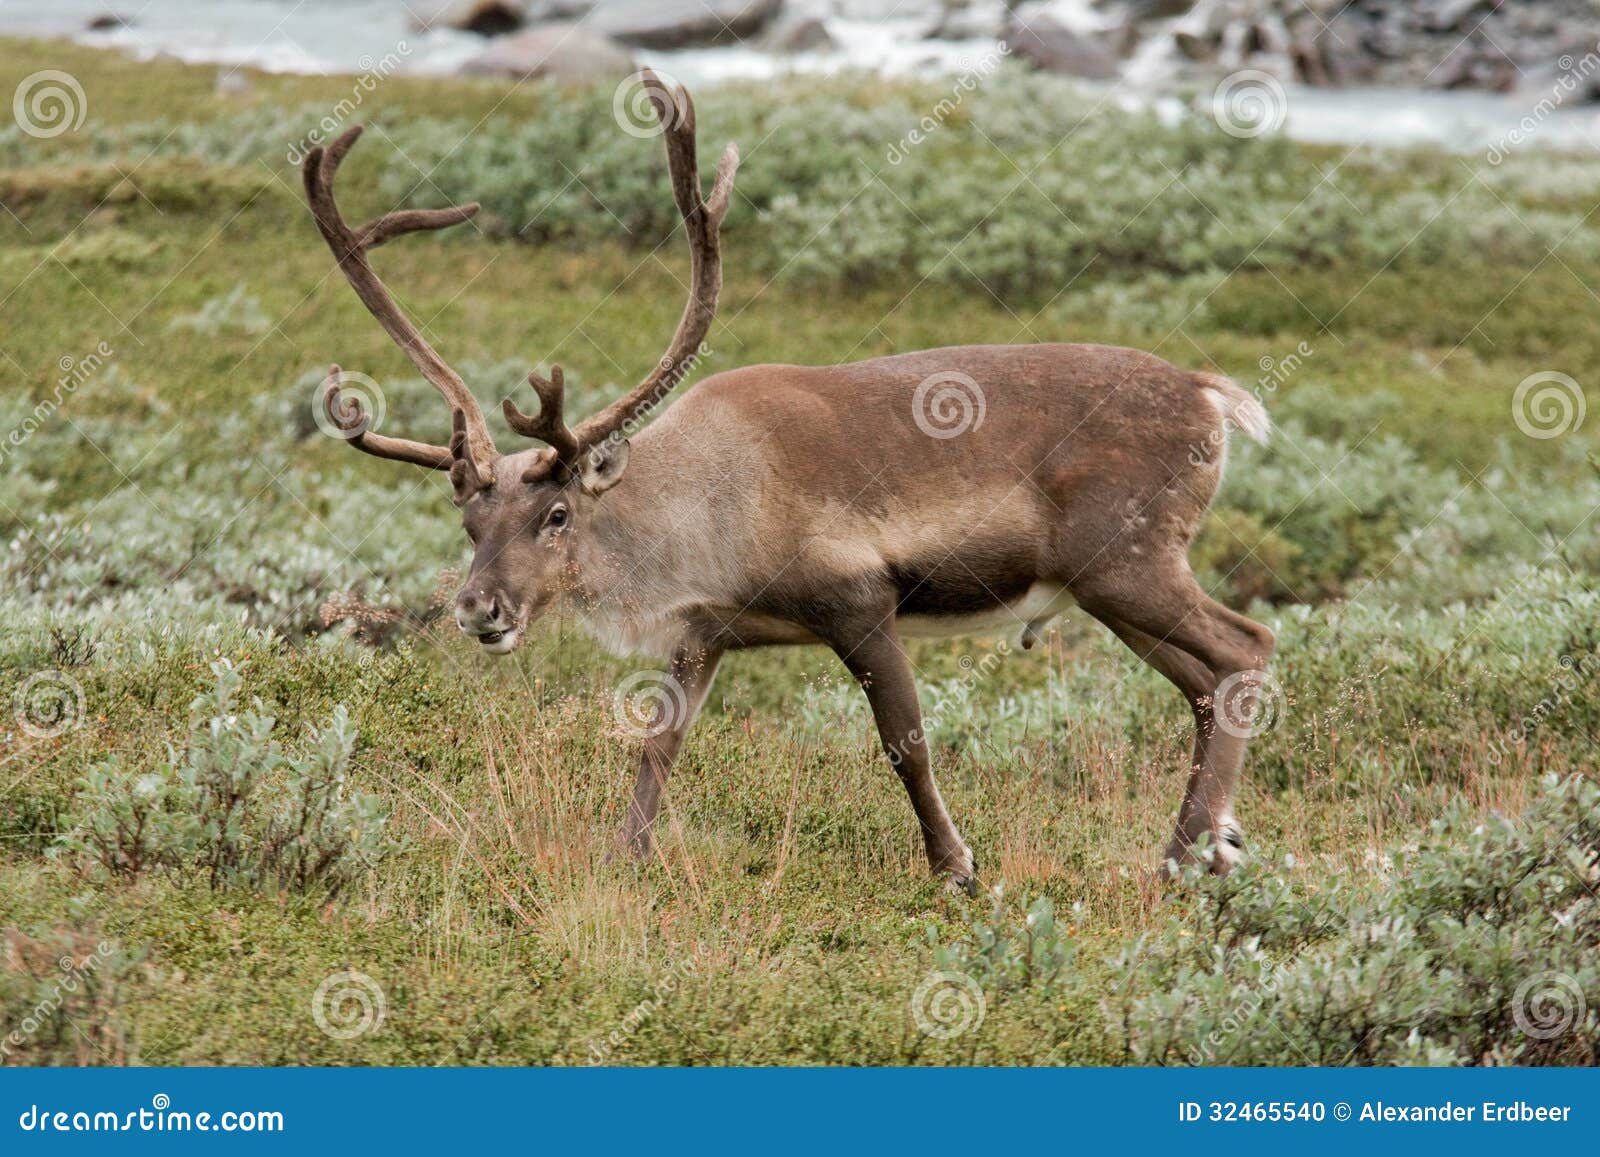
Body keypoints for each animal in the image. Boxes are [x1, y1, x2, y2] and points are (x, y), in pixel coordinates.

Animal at [302, 72, 1275, 894]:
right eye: (470, 523)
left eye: (556, 513)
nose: (480, 610)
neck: (698, 515)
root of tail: (1208, 393)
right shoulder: (705, 633)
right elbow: (657, 745)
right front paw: (625, 859)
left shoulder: (859, 603)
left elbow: (905, 745)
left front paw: (955, 867)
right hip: (1108, 589)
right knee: (1203, 683)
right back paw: (1209, 839)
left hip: (1127, 561)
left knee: (1246, 647)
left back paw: (1187, 856)